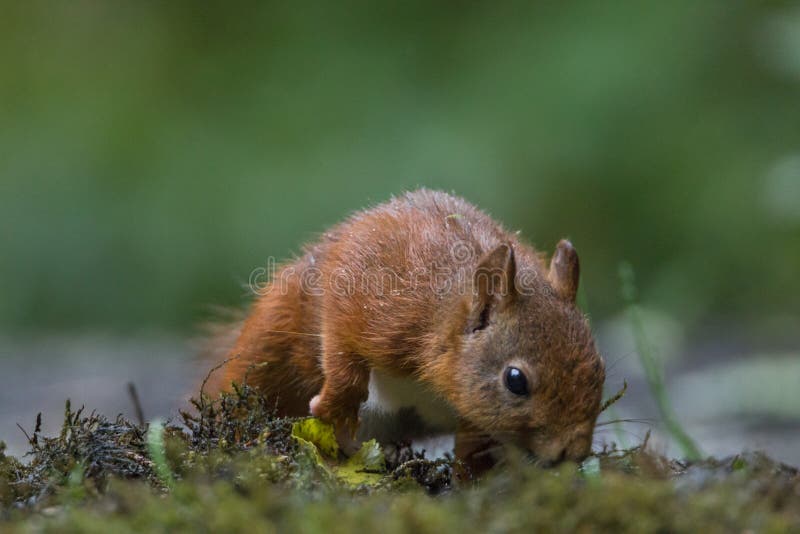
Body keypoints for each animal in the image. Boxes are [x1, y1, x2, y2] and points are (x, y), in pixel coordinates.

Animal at [203, 189, 605, 466]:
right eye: (516, 380)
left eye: (600, 369)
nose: (573, 452)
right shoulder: (375, 296)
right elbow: (343, 348)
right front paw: (336, 410)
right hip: (269, 344)